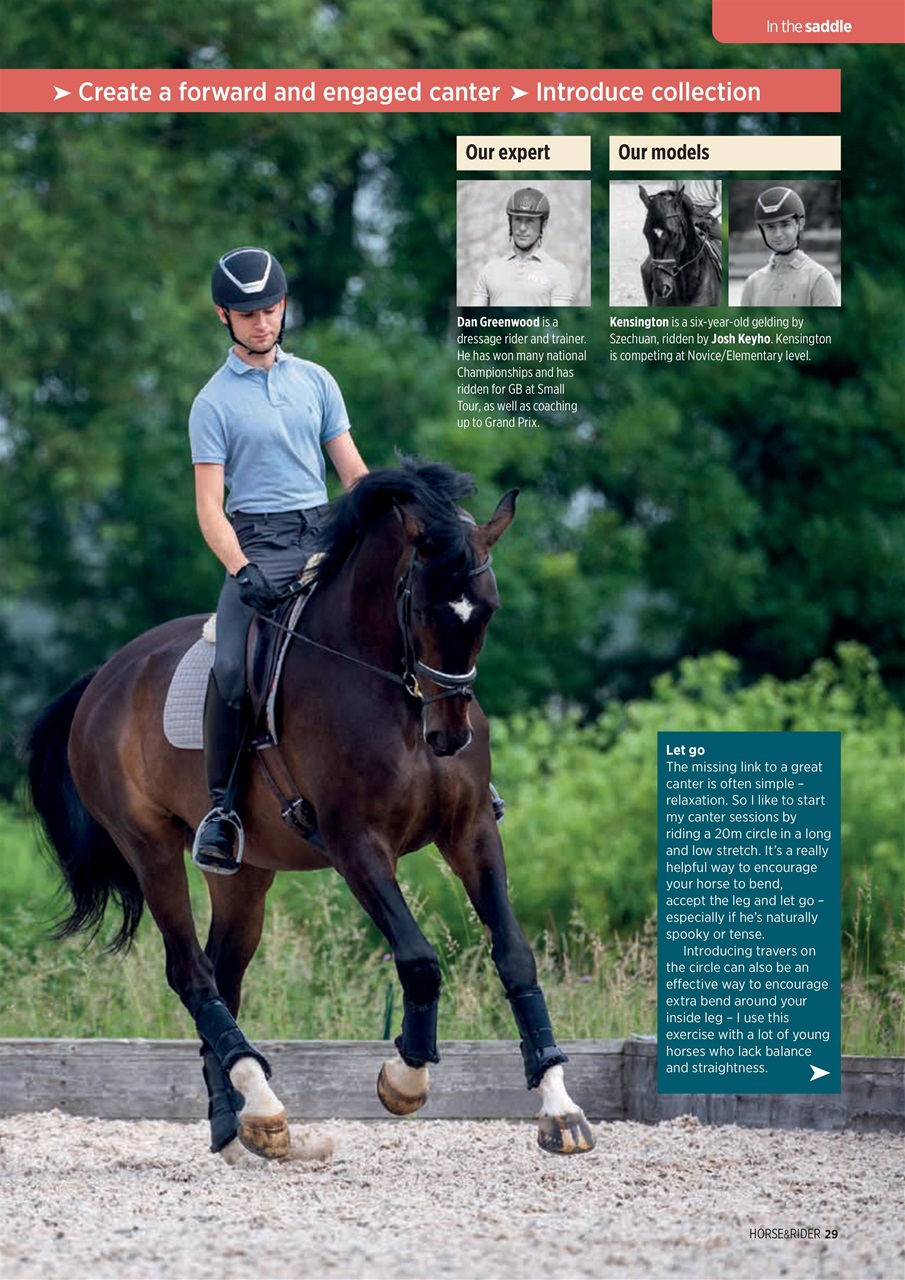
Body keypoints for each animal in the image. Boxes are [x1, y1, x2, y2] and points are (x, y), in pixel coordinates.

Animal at [27, 461, 596, 1162]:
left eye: (487, 611)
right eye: (420, 608)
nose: (450, 737)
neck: (395, 692)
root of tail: (104, 678)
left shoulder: (471, 831)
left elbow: (515, 953)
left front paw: (560, 1106)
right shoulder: (357, 845)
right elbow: (418, 960)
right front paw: (404, 1079)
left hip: (243, 875)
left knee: (223, 973)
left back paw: (236, 1126)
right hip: (150, 847)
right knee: (191, 972)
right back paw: (261, 1102)